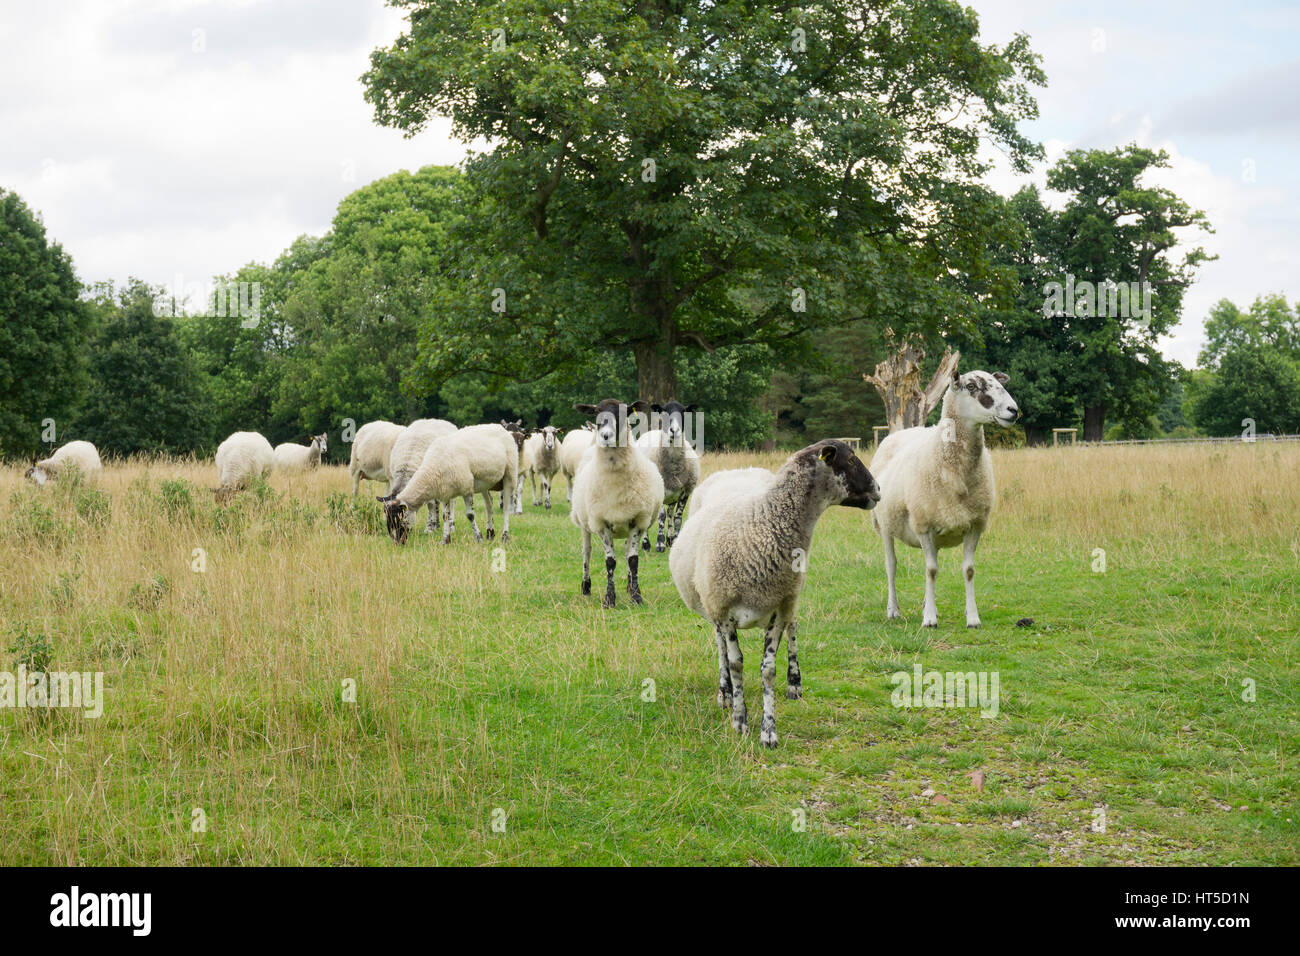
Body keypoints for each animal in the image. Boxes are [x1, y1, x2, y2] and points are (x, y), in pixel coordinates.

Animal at [381, 423, 518, 545]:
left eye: (399, 520)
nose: (398, 543)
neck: (431, 470)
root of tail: (499, 427)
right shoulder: (444, 492)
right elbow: (445, 516)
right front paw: (445, 540)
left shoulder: (467, 488)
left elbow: (470, 515)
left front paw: (478, 537)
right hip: (486, 483)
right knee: (489, 504)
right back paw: (490, 533)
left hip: (510, 475)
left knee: (506, 507)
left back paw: (505, 537)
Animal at [569, 399, 664, 608]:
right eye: (597, 412)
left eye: (622, 413)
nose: (605, 436)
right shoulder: (601, 522)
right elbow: (610, 562)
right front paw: (609, 599)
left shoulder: (637, 520)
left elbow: (633, 560)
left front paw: (636, 596)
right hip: (585, 524)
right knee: (587, 553)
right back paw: (586, 586)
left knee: (628, 551)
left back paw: (629, 585)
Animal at [635, 401, 701, 551]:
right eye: (664, 412)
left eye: (683, 412)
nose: (674, 430)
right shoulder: (660, 490)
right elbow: (661, 516)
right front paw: (659, 544)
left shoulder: (685, 491)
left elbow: (677, 517)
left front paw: (675, 540)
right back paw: (646, 544)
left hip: (672, 495)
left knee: (671, 513)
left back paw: (670, 540)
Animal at [669, 440, 880, 746]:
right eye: (851, 460)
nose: (878, 489)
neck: (764, 523)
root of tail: (739, 471)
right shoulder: (725, 611)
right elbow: (735, 663)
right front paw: (740, 720)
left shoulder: (780, 608)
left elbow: (768, 669)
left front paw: (768, 730)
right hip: (711, 603)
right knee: (720, 647)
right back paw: (726, 693)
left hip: (791, 595)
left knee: (794, 628)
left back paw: (794, 683)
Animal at [869, 369, 1018, 629]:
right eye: (972, 386)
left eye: (998, 383)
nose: (1014, 410)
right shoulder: (923, 525)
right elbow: (930, 571)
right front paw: (929, 619)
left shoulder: (975, 525)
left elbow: (968, 570)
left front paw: (972, 617)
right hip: (886, 525)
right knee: (892, 566)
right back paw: (894, 610)